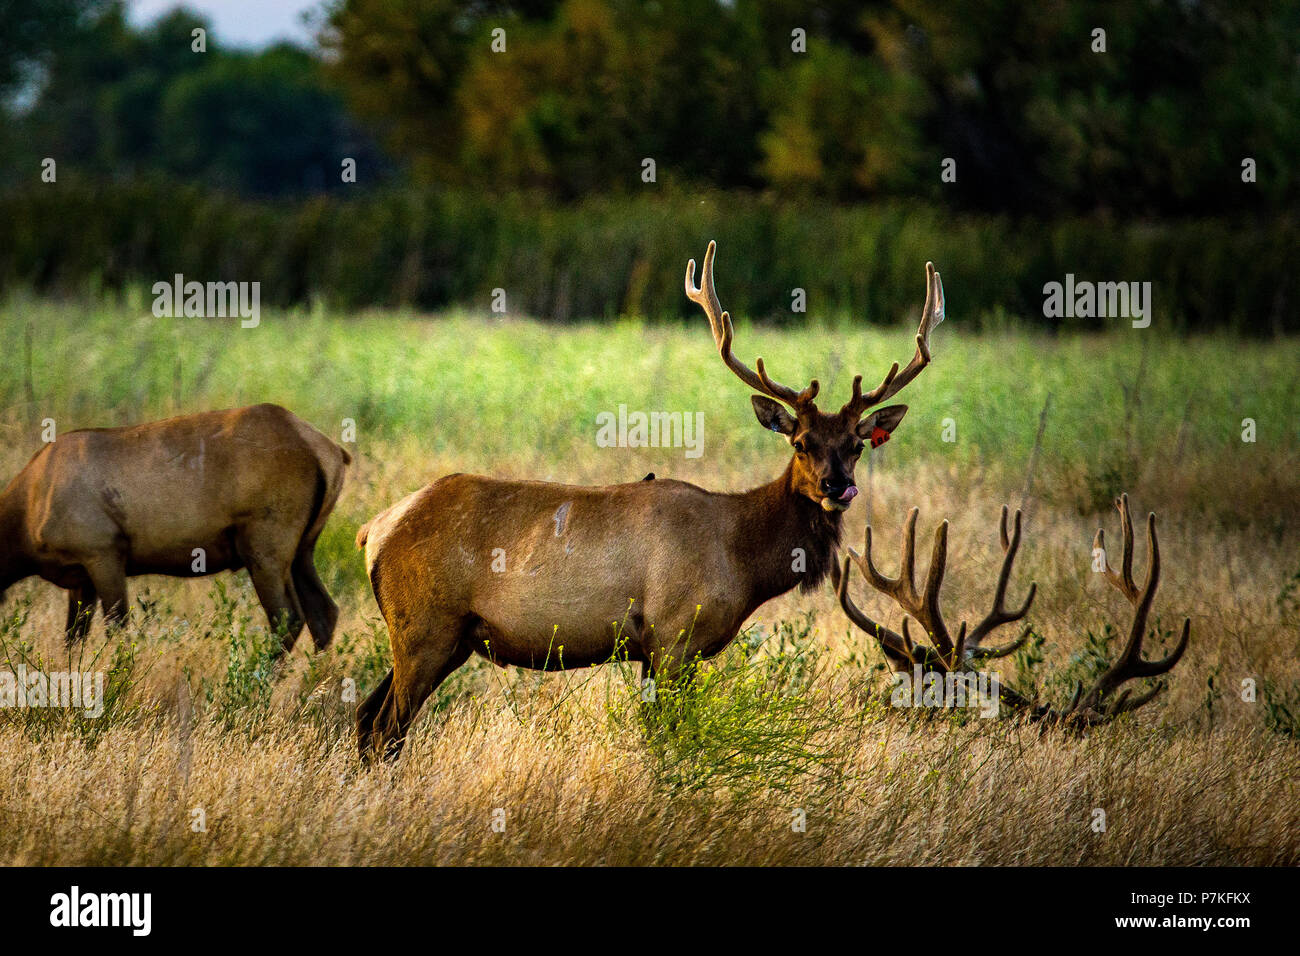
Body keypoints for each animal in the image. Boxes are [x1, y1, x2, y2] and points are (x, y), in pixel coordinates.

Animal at [0, 403, 350, 654]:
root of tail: (333, 452)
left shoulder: (102, 551)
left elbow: (119, 630)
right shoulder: (79, 576)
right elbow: (73, 641)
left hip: (266, 543)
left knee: (288, 618)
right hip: (303, 548)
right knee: (324, 614)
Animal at [354, 240, 946, 760]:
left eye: (855, 446)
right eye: (800, 443)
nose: (836, 487)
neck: (740, 558)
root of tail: (375, 529)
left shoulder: (653, 649)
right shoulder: (672, 634)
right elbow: (667, 735)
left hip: (445, 638)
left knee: (365, 717)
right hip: (424, 626)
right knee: (384, 728)